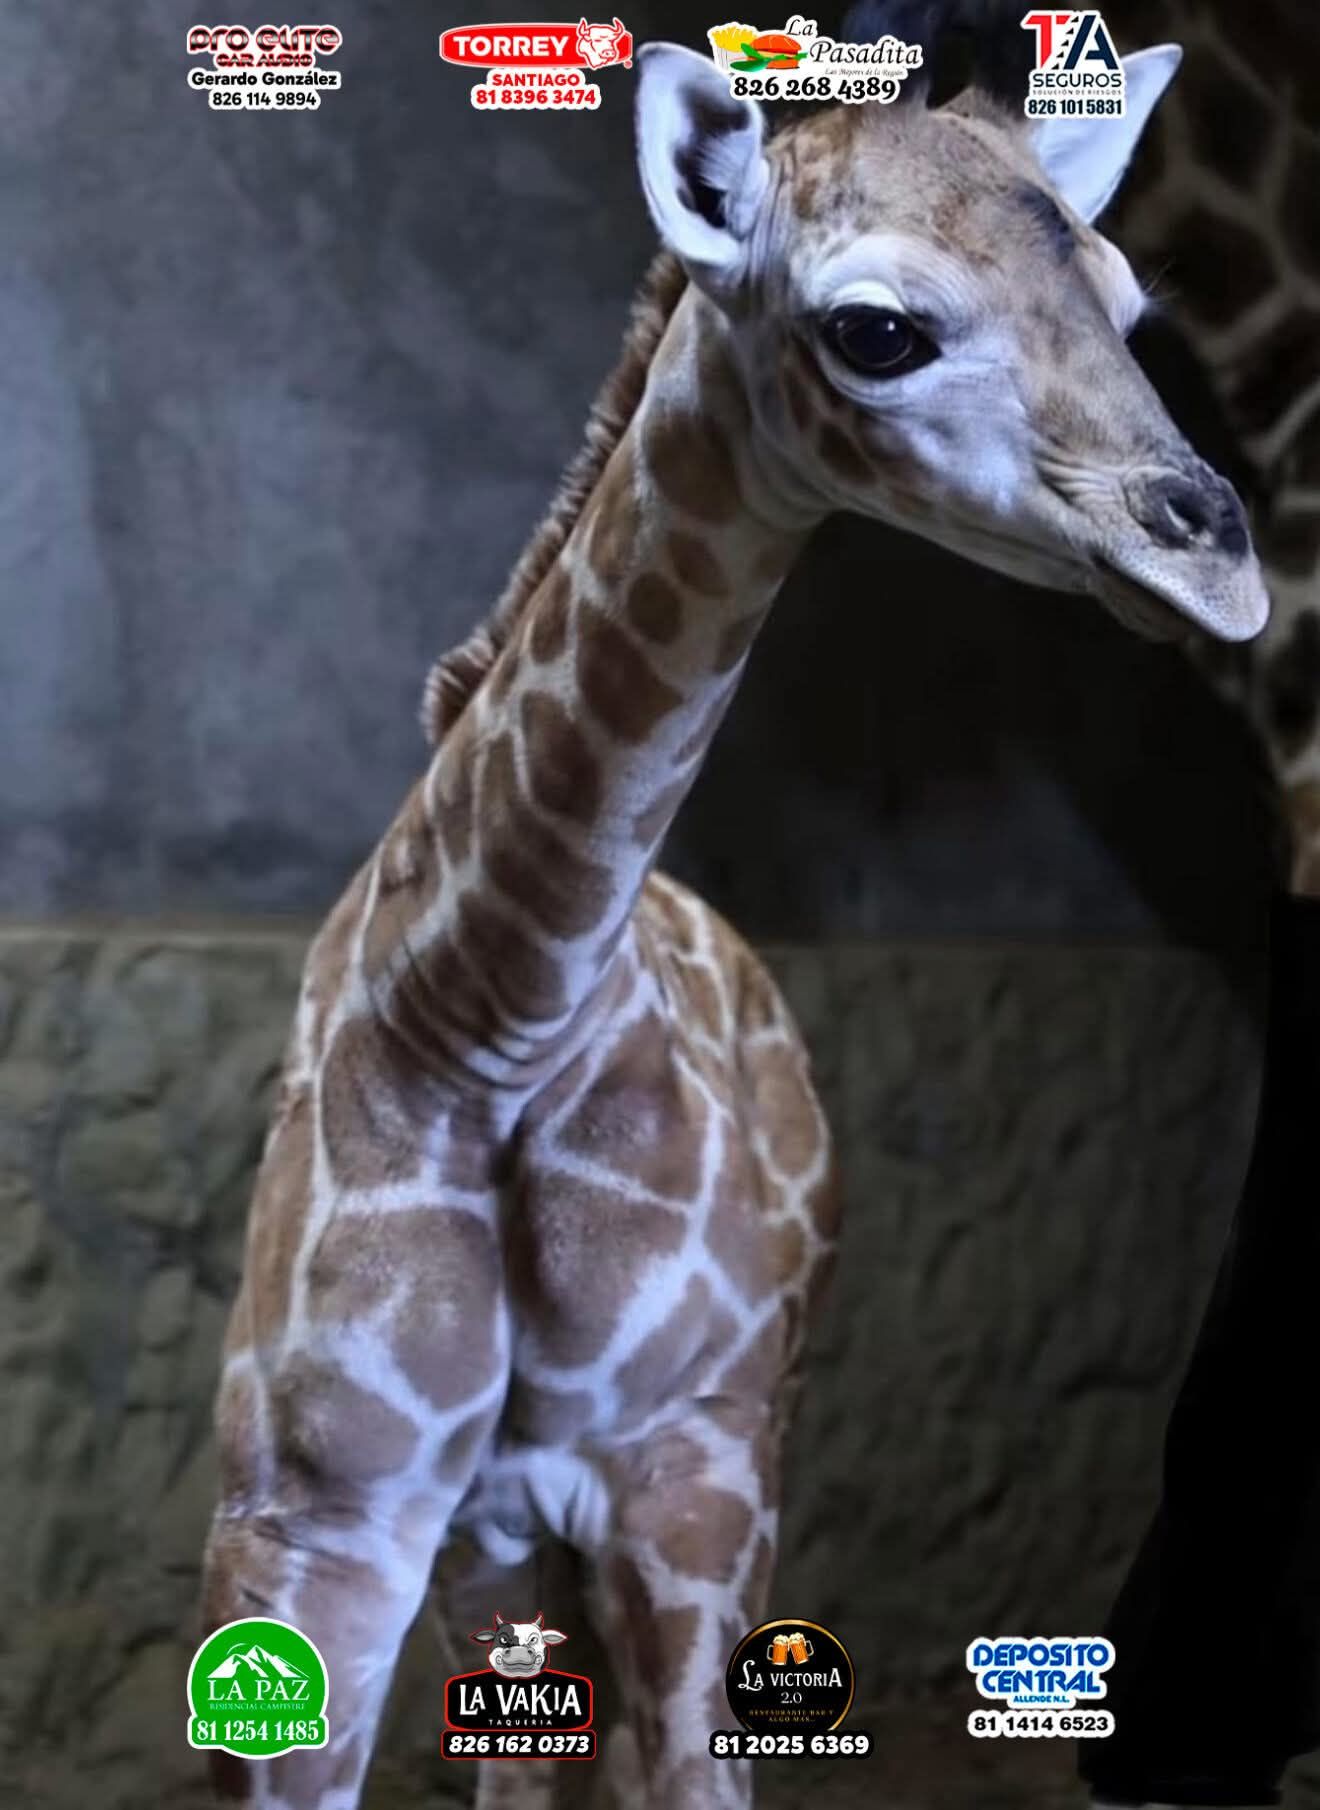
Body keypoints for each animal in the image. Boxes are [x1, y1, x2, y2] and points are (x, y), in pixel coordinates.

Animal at [198, 35, 1268, 1810]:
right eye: (877, 329)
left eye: (1126, 297)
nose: (1223, 561)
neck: (490, 1018)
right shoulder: (314, 1520)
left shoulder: (692, 1477)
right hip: (502, 1547)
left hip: (734, 1459)